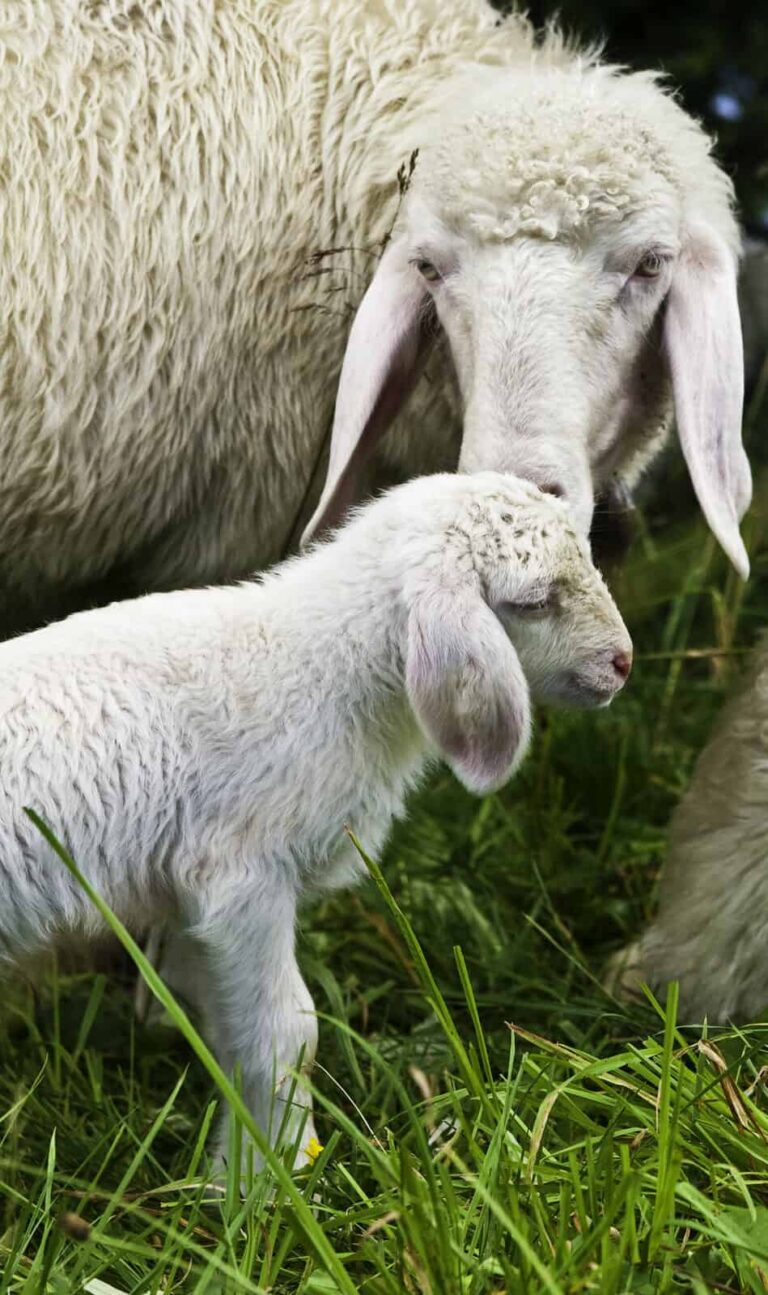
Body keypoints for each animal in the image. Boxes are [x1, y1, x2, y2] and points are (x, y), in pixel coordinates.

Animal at [0, 471, 632, 1172]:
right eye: (535, 602)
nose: (623, 663)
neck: (325, 663)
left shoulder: (194, 898)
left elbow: (222, 1021)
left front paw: (245, 1160)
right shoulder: (245, 875)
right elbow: (289, 1036)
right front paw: (273, 1176)